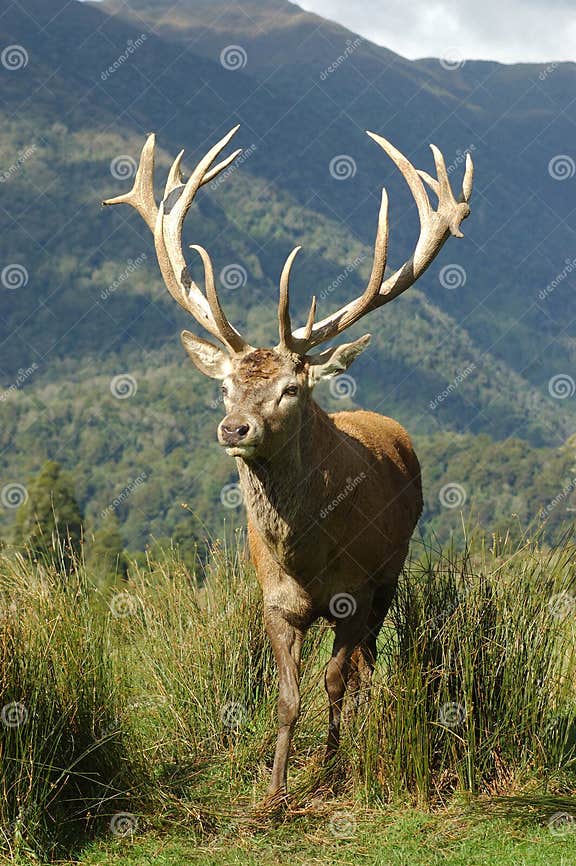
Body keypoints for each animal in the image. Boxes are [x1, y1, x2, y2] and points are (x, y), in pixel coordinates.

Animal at [103, 125, 473, 801]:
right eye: (225, 386)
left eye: (291, 388)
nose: (234, 427)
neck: (307, 557)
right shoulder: (272, 601)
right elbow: (286, 697)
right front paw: (274, 793)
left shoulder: (357, 588)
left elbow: (335, 680)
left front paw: (330, 767)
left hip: (393, 571)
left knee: (366, 663)